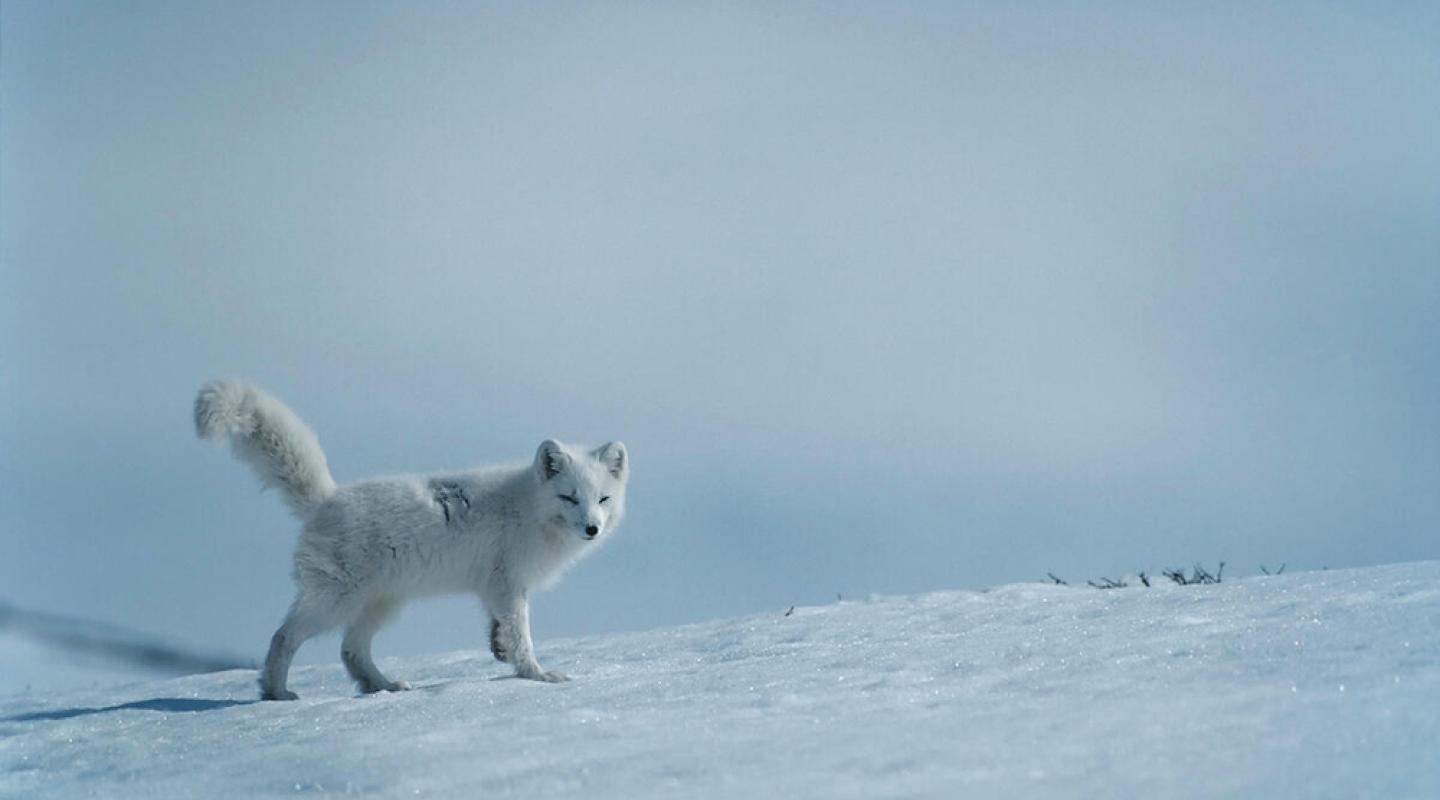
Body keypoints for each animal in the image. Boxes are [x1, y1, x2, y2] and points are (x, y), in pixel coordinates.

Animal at [193, 379, 628, 700]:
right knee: (284, 636)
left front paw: (500, 651)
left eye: (603, 499)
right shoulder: (507, 584)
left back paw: (384, 687)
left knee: (350, 651)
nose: (592, 528)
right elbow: (522, 636)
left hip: (381, 604)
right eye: (569, 497)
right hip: (335, 602)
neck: (529, 509)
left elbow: (501, 630)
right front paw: (537, 676)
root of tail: (327, 499)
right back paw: (276, 693)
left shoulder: (496, 589)